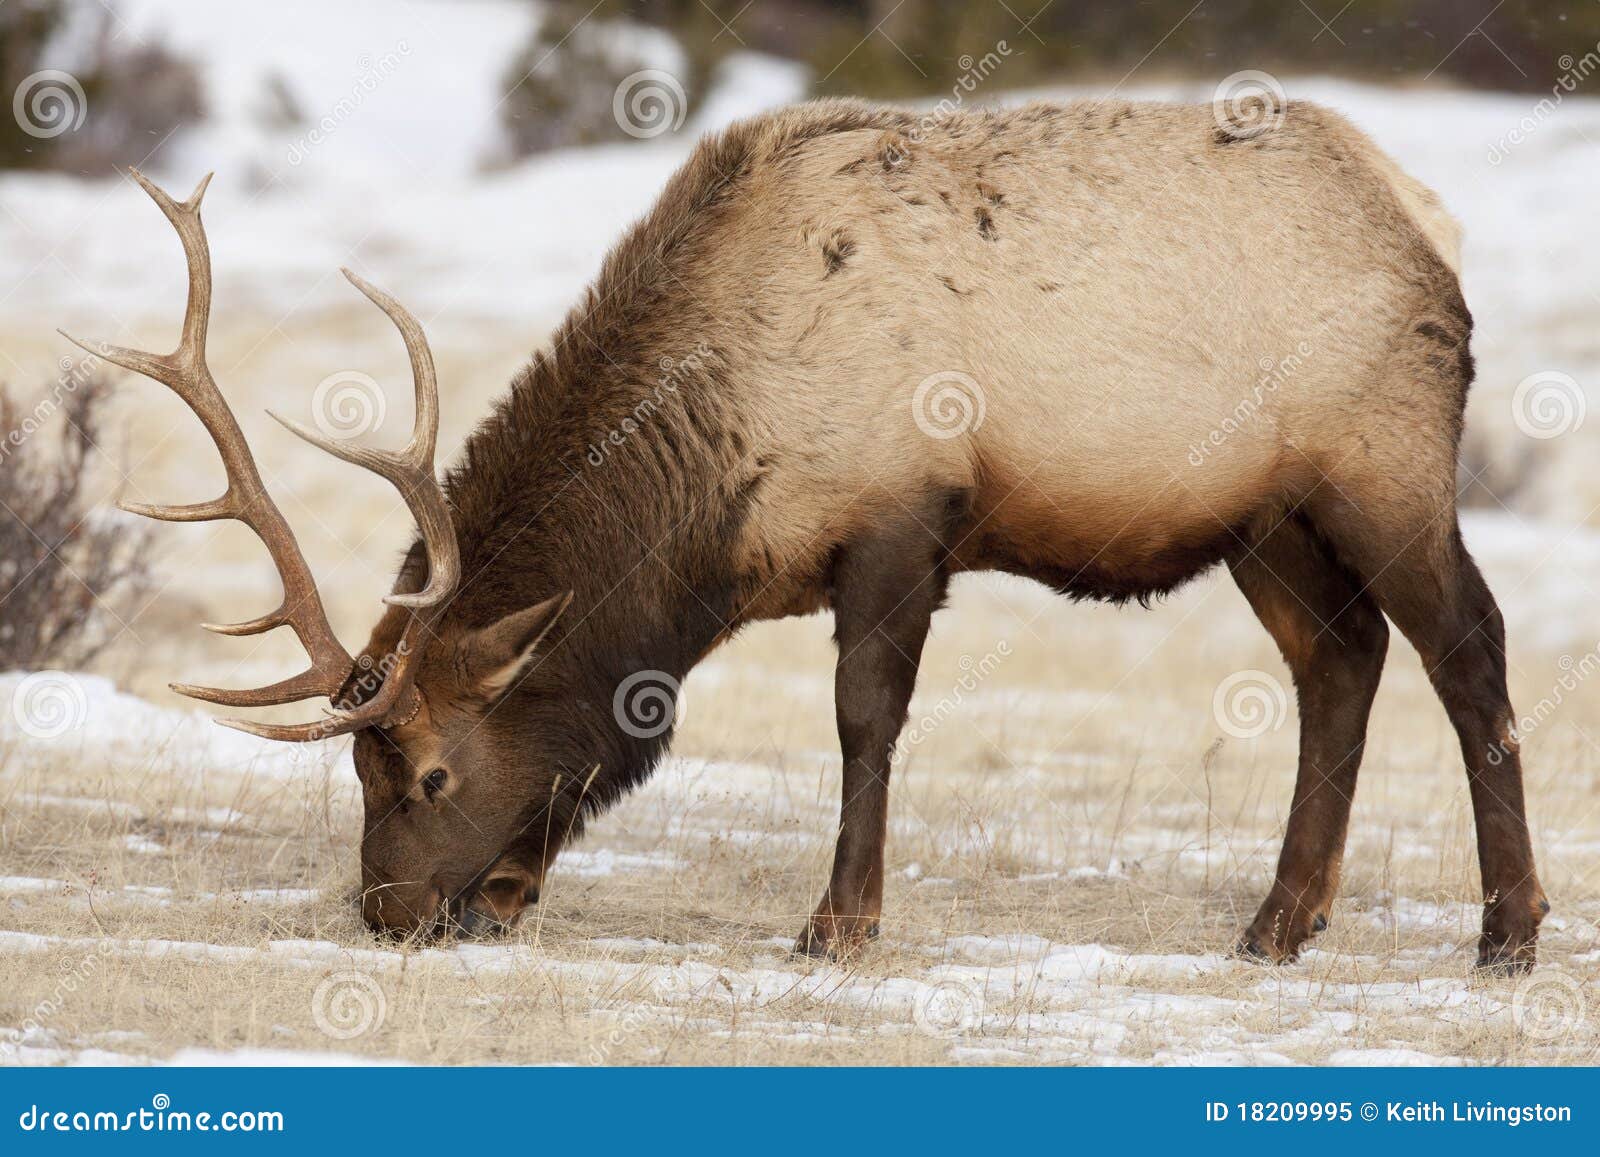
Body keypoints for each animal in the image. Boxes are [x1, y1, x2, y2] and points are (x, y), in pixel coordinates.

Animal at [68, 95, 1546, 973]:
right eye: (359, 767)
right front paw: (513, 888)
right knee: (1338, 663)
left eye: (425, 772)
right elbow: (620, 730)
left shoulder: (900, 516)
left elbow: (861, 719)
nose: (384, 910)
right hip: (1264, 514)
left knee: (1468, 647)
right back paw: (1278, 922)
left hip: (1384, 460)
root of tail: (1429, 220)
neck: (717, 479)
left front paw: (838, 923)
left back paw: (1508, 932)